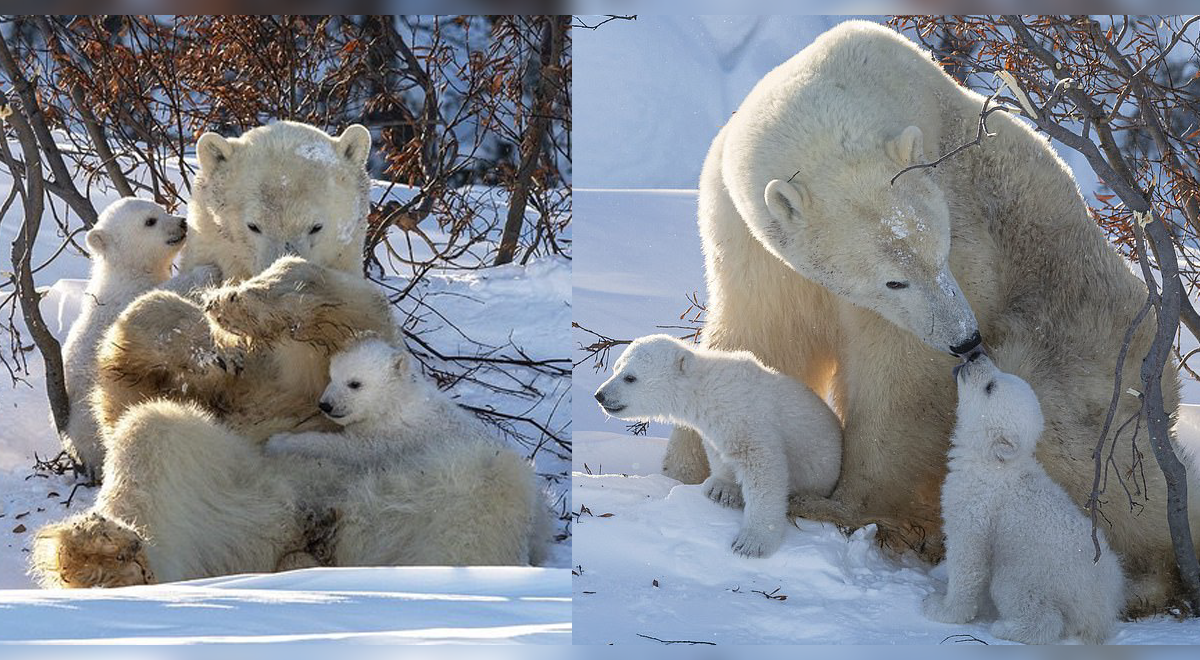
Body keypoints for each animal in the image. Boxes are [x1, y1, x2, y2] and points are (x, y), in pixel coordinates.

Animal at [266, 338, 552, 566]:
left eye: (355, 383)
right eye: (332, 376)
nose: (325, 404)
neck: (399, 401)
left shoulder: (398, 434)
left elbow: (354, 448)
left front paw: (279, 441)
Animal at [593, 334, 841, 558]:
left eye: (630, 377)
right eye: (615, 368)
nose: (600, 395)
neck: (707, 388)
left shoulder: (748, 417)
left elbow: (764, 469)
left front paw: (752, 542)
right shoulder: (716, 425)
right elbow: (719, 453)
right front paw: (722, 489)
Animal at [659, 20, 1196, 612]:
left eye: (941, 251)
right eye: (893, 280)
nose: (966, 340)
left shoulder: (965, 223)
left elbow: (903, 379)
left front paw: (836, 505)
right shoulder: (749, 236)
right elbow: (763, 332)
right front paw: (693, 470)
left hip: (1098, 369)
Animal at [923, 353, 1125, 644]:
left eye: (990, 386)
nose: (976, 355)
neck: (995, 463)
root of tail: (1097, 613)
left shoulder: (975, 503)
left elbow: (969, 557)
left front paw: (940, 608)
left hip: (1030, 572)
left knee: (1033, 606)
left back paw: (1006, 628)